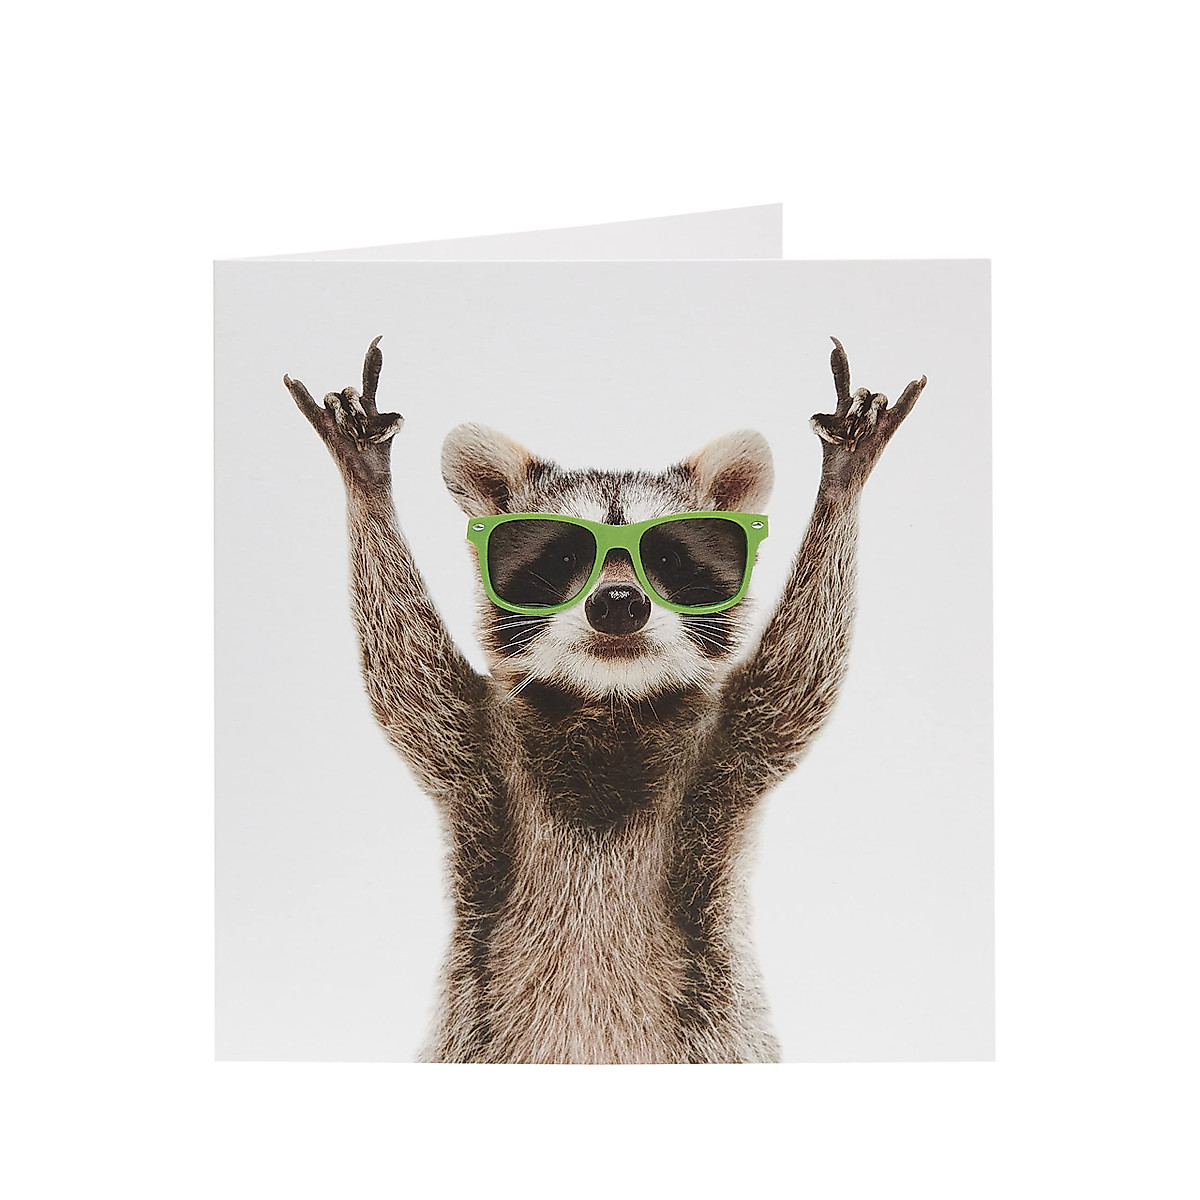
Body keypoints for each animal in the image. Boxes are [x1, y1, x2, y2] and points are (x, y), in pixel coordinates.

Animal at [283, 335, 925, 1063]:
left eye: (668, 559)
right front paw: (367, 484)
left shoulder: (728, 750)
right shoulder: (476, 750)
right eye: (564, 558)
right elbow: (404, 676)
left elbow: (801, 675)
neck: (608, 703)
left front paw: (842, 484)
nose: (618, 603)